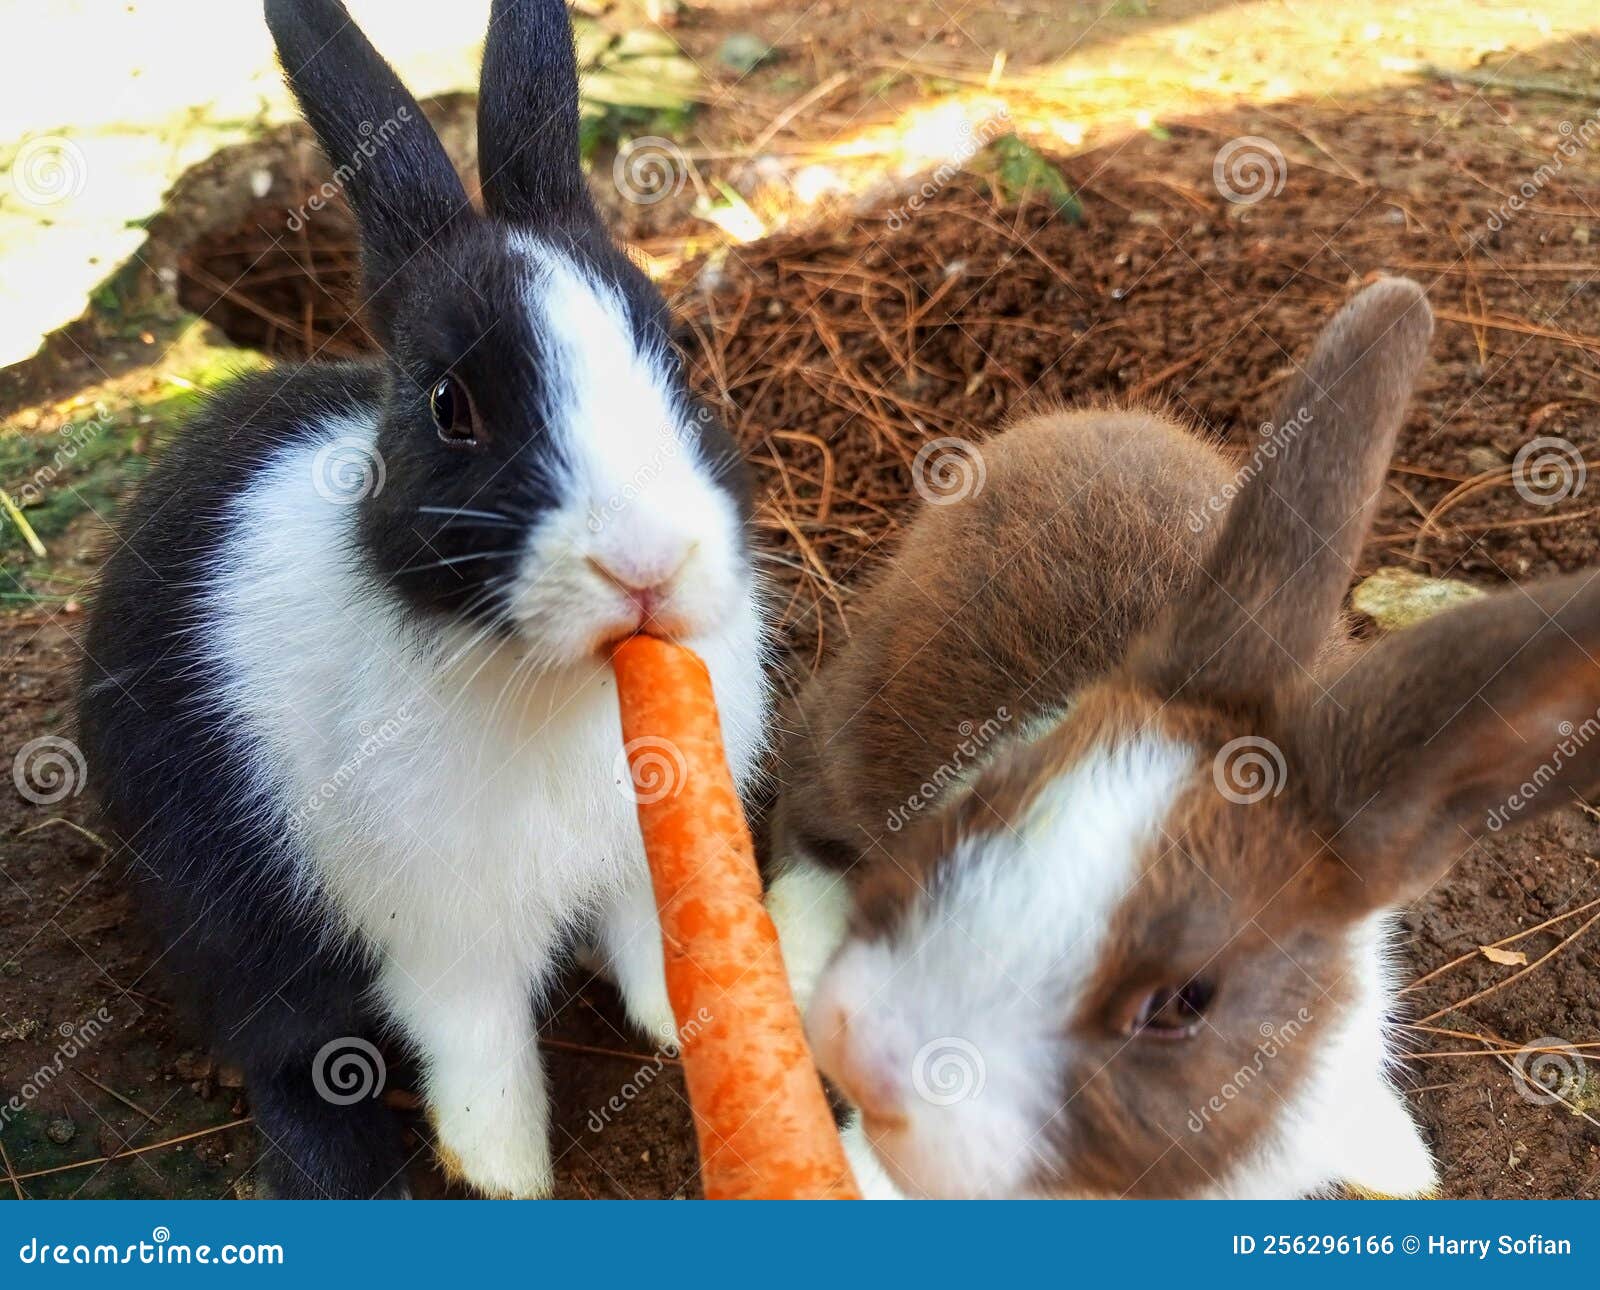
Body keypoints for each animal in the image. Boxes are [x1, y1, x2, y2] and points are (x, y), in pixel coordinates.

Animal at [76, 0, 768, 1199]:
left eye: (676, 353)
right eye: (451, 405)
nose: (645, 564)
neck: (570, 688)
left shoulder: (639, 876)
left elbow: (651, 961)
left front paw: (681, 1039)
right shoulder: (445, 948)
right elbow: (483, 1063)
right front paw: (508, 1179)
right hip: (222, 908)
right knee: (281, 1051)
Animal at [767, 277, 1600, 1199]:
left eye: (1180, 1004)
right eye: (967, 812)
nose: (857, 1047)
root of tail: (1071, 422)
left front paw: (1402, 1164)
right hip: (849, 722)